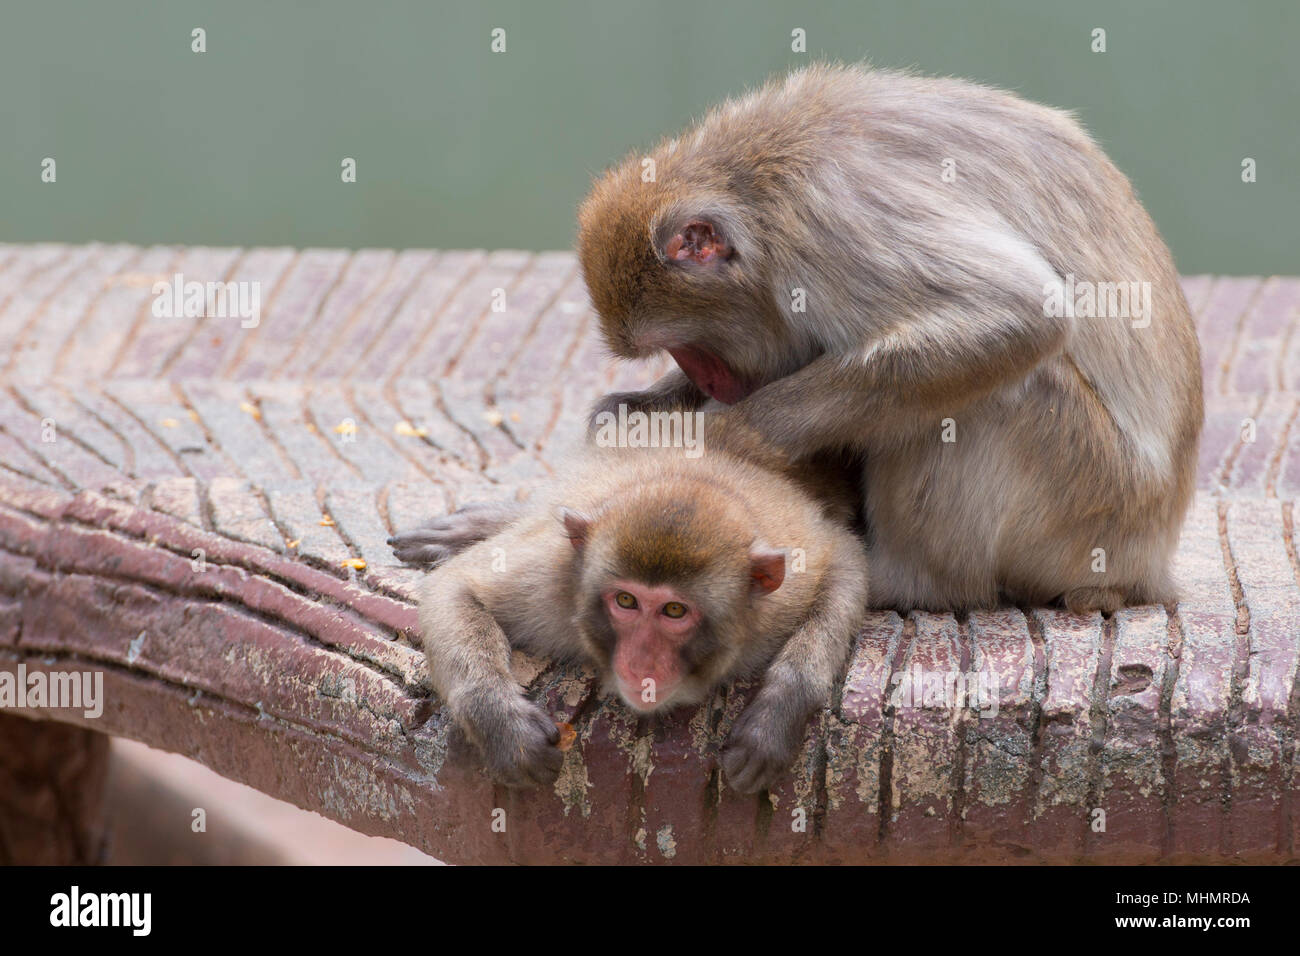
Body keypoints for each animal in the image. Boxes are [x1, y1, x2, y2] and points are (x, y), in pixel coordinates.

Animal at [390, 418, 868, 792]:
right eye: (625, 600)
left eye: (674, 611)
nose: (641, 663)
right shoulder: (552, 580)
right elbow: (455, 587)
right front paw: (505, 728)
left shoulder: (792, 583)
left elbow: (846, 564)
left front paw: (776, 718)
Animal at [576, 63, 1203, 615]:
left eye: (691, 347)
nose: (705, 380)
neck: (754, 184)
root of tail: (1149, 564)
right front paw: (640, 407)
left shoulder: (827, 217)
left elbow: (1018, 311)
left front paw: (718, 439)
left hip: (1094, 508)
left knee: (1007, 389)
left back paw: (910, 582)